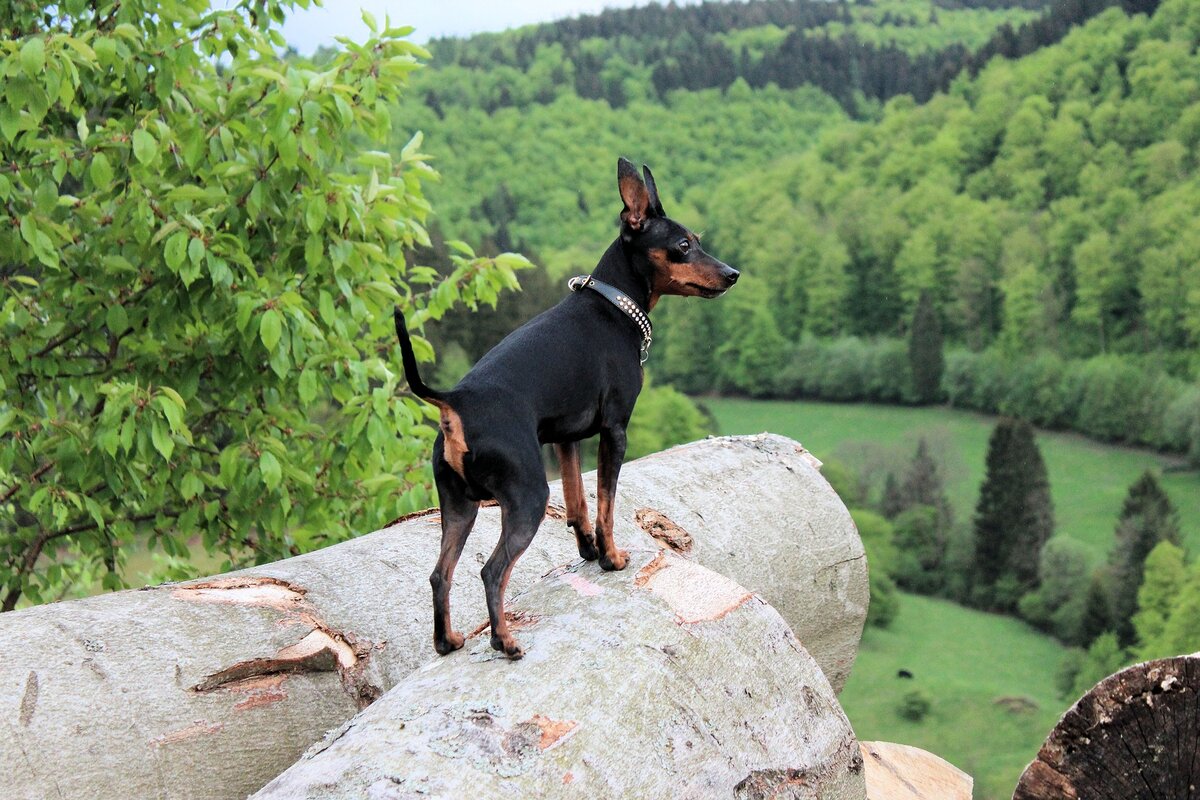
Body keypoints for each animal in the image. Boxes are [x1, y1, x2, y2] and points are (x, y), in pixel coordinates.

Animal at [393, 155, 734, 657]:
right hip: (527, 497)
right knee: (491, 571)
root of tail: (455, 401)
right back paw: (504, 640)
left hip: (458, 508)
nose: (732, 273)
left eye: (700, 240)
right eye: (683, 245)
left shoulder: (566, 439)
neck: (615, 304)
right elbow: (607, 502)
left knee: (440, 574)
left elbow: (578, 504)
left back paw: (448, 640)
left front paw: (589, 553)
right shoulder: (614, 431)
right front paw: (611, 558)